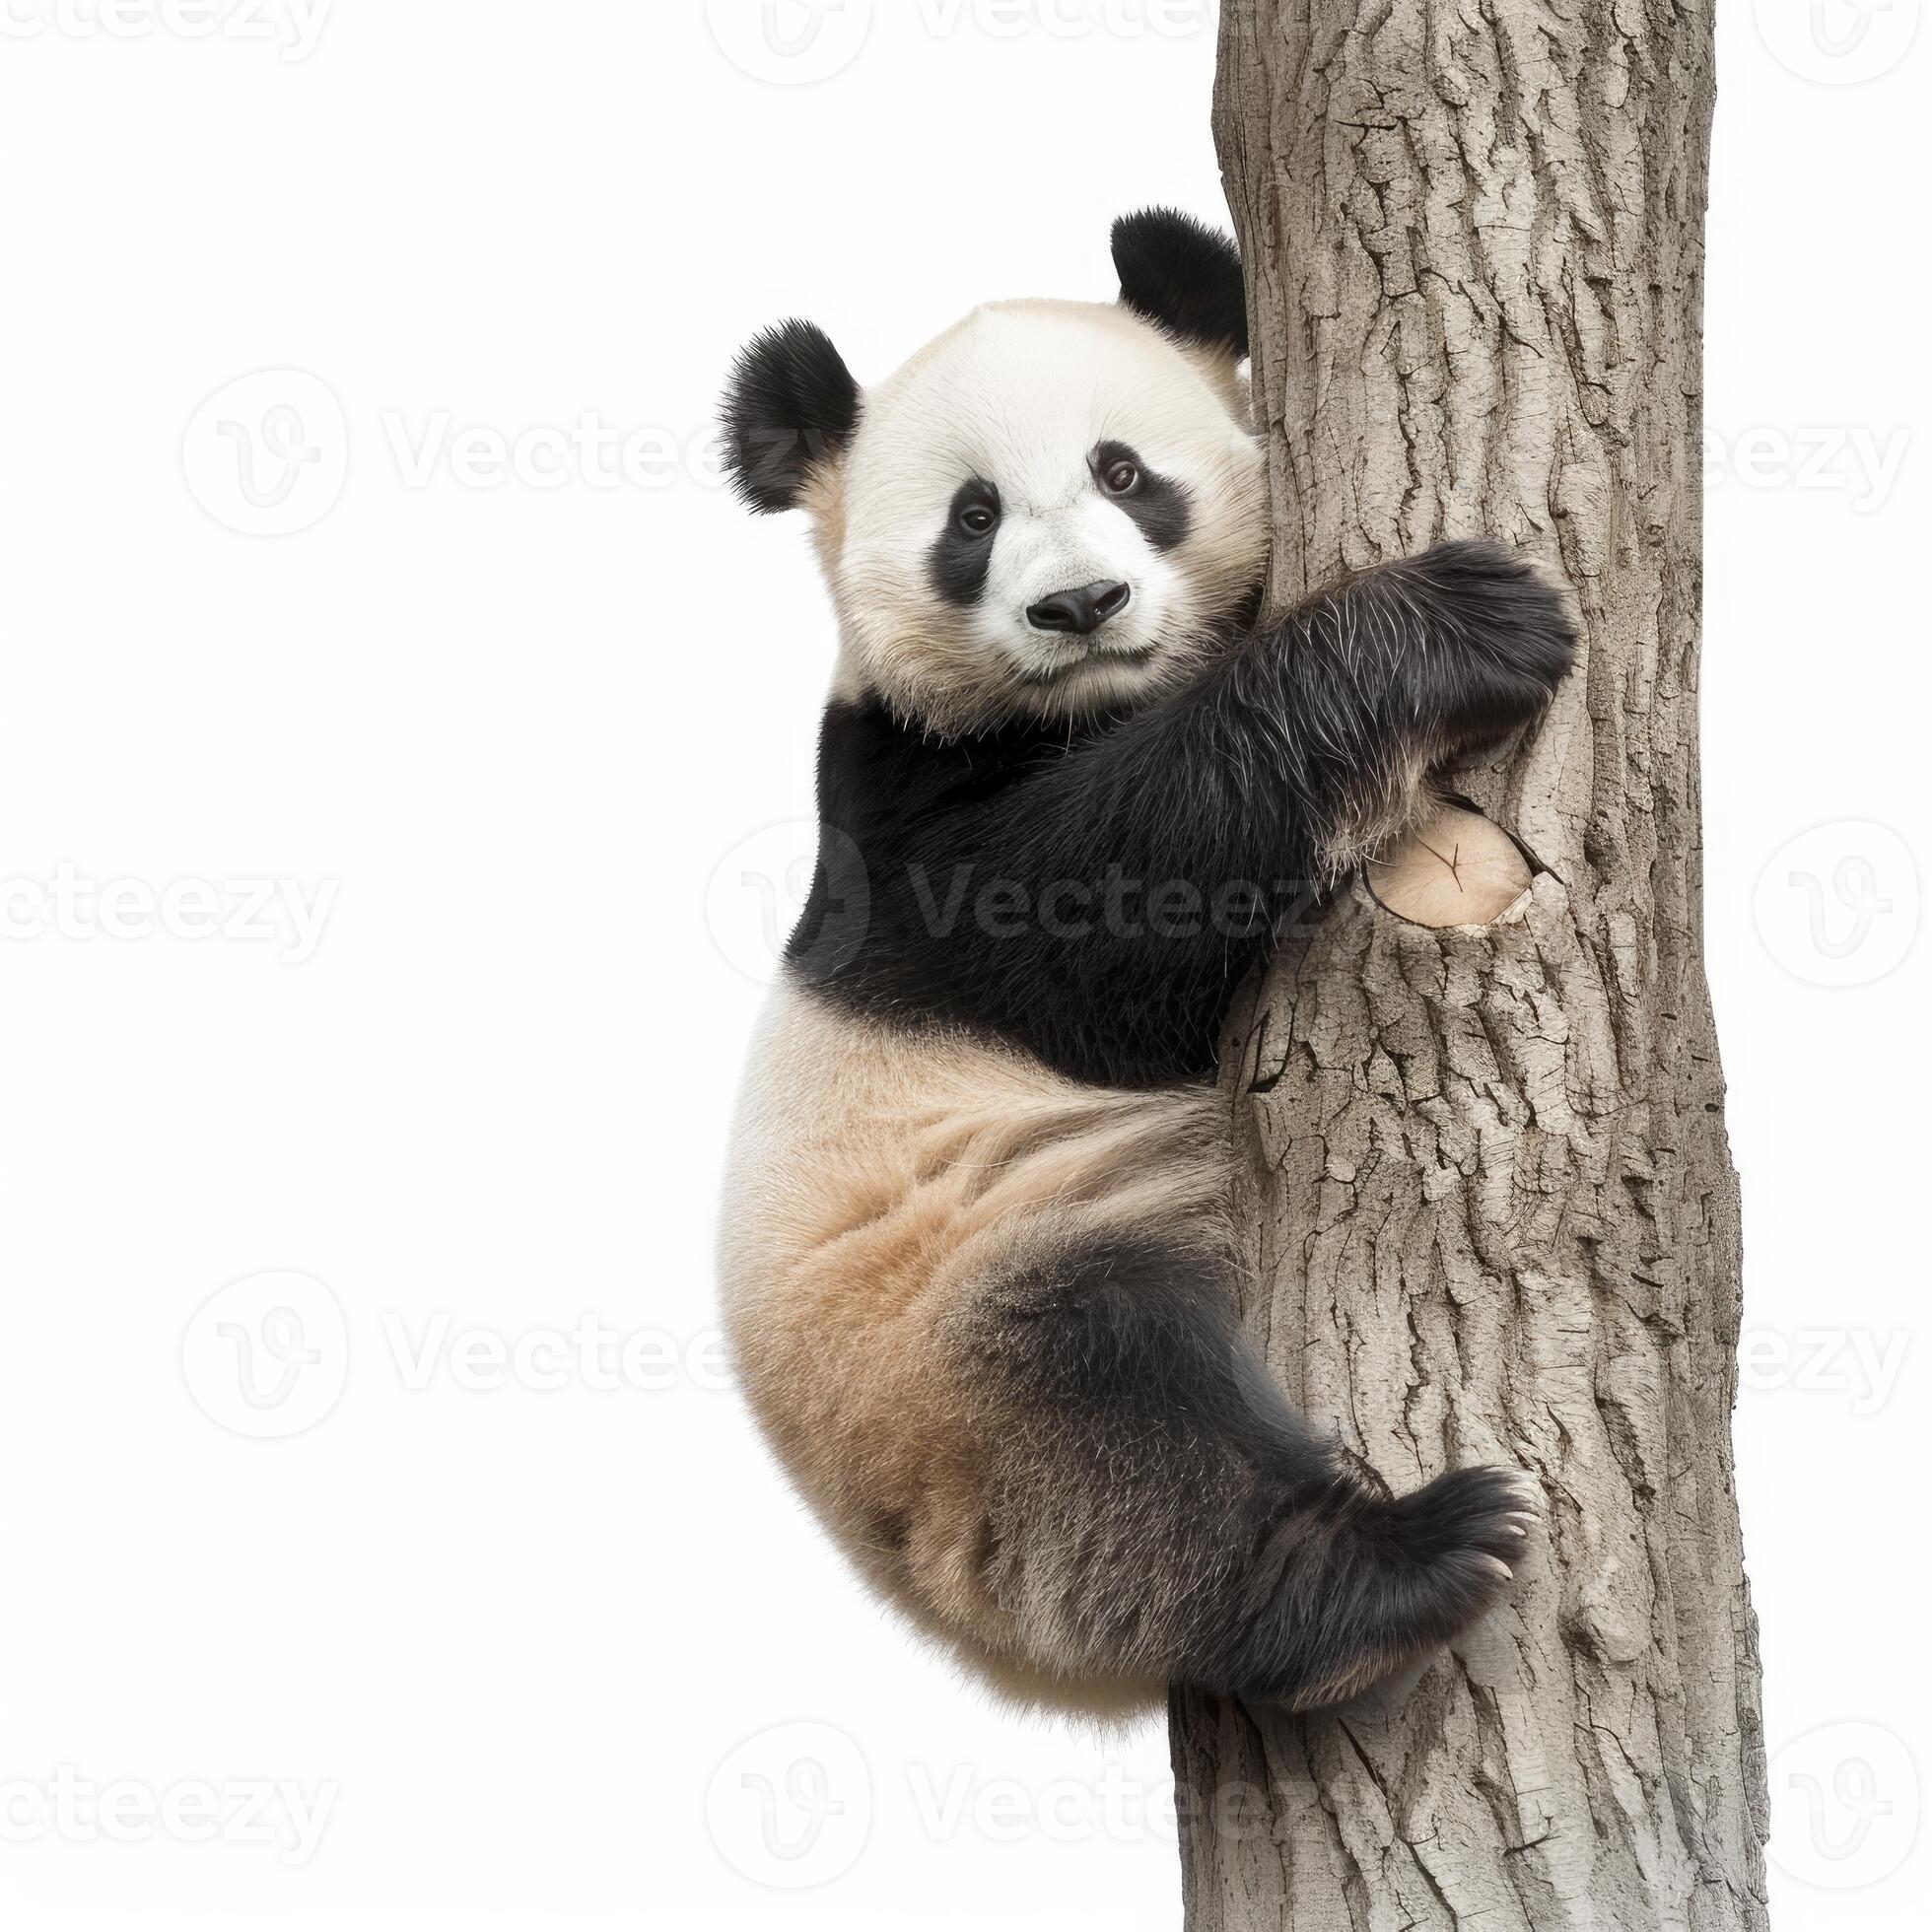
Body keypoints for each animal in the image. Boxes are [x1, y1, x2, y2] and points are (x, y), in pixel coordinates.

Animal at [717, 208, 1576, 1714]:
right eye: (974, 518)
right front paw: (1460, 626)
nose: (1081, 604)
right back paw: (1380, 1571)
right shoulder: (906, 823)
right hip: (950, 1319)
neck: (1096, 704)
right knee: (1122, 1423)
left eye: (1124, 471)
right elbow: (1109, 920)